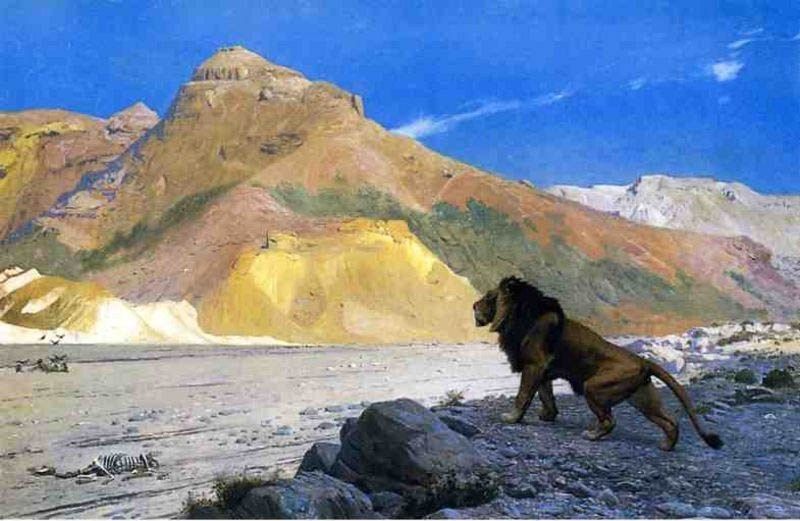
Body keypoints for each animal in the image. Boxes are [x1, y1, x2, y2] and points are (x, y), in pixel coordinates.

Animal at [473, 276, 723, 451]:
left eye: (489, 297)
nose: (474, 306)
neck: (519, 317)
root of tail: (643, 361)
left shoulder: (535, 365)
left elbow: (523, 395)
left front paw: (511, 418)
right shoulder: (541, 370)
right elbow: (546, 396)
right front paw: (548, 416)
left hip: (594, 387)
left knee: (610, 420)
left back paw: (592, 435)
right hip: (642, 398)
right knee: (670, 422)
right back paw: (666, 446)